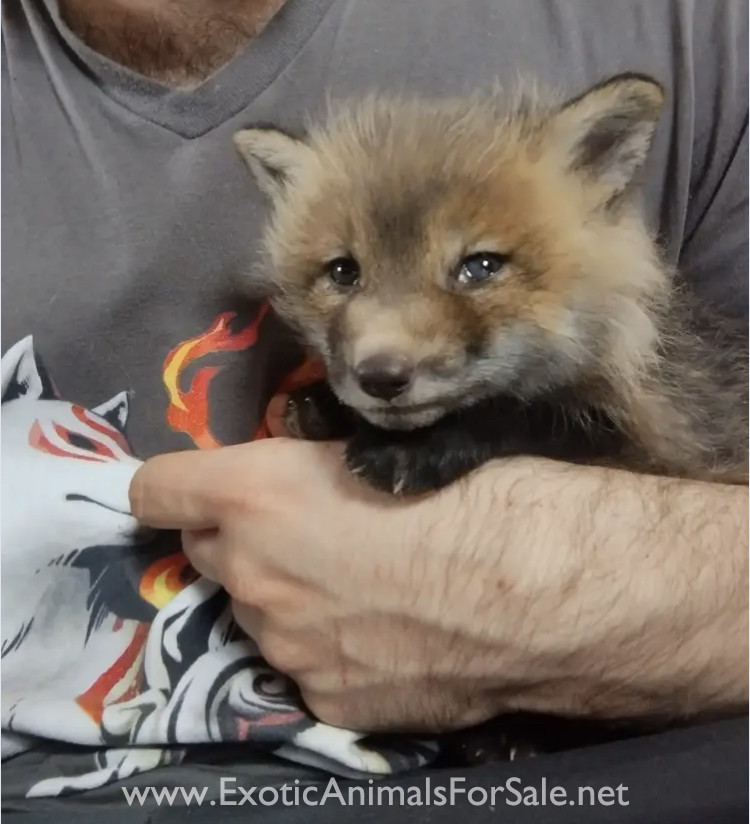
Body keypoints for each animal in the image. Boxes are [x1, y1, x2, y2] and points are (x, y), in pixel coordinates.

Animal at [232, 73, 748, 498]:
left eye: (480, 267)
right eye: (343, 272)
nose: (380, 377)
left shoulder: (656, 447)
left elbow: (528, 415)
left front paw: (418, 447)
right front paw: (325, 407)